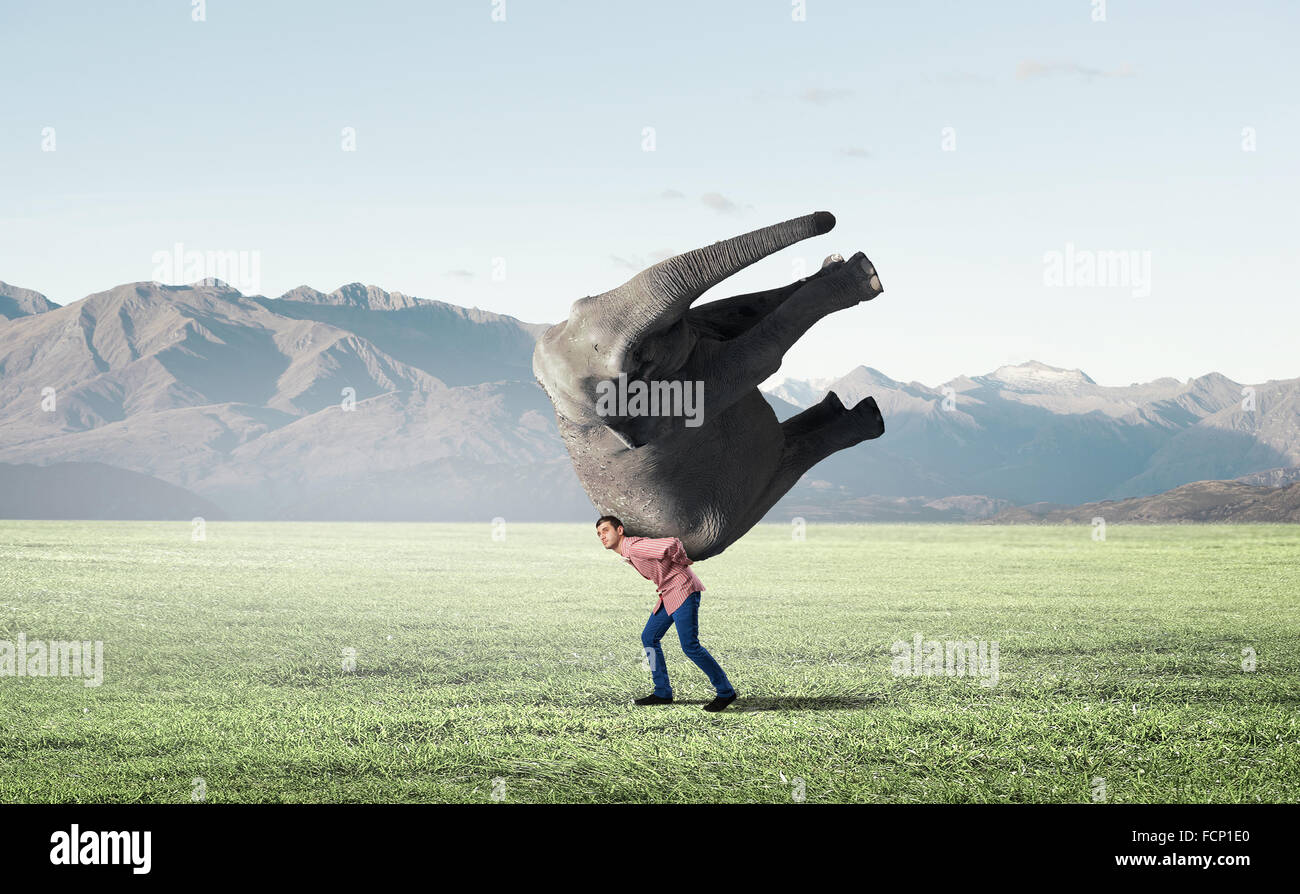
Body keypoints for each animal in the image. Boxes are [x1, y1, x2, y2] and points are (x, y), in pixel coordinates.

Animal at [532, 210, 885, 561]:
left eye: (581, 303)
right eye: (633, 360)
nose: (828, 218)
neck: (574, 417)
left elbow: (732, 310)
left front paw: (837, 264)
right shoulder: (678, 405)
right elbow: (758, 358)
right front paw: (864, 275)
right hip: (733, 512)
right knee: (789, 461)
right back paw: (867, 416)